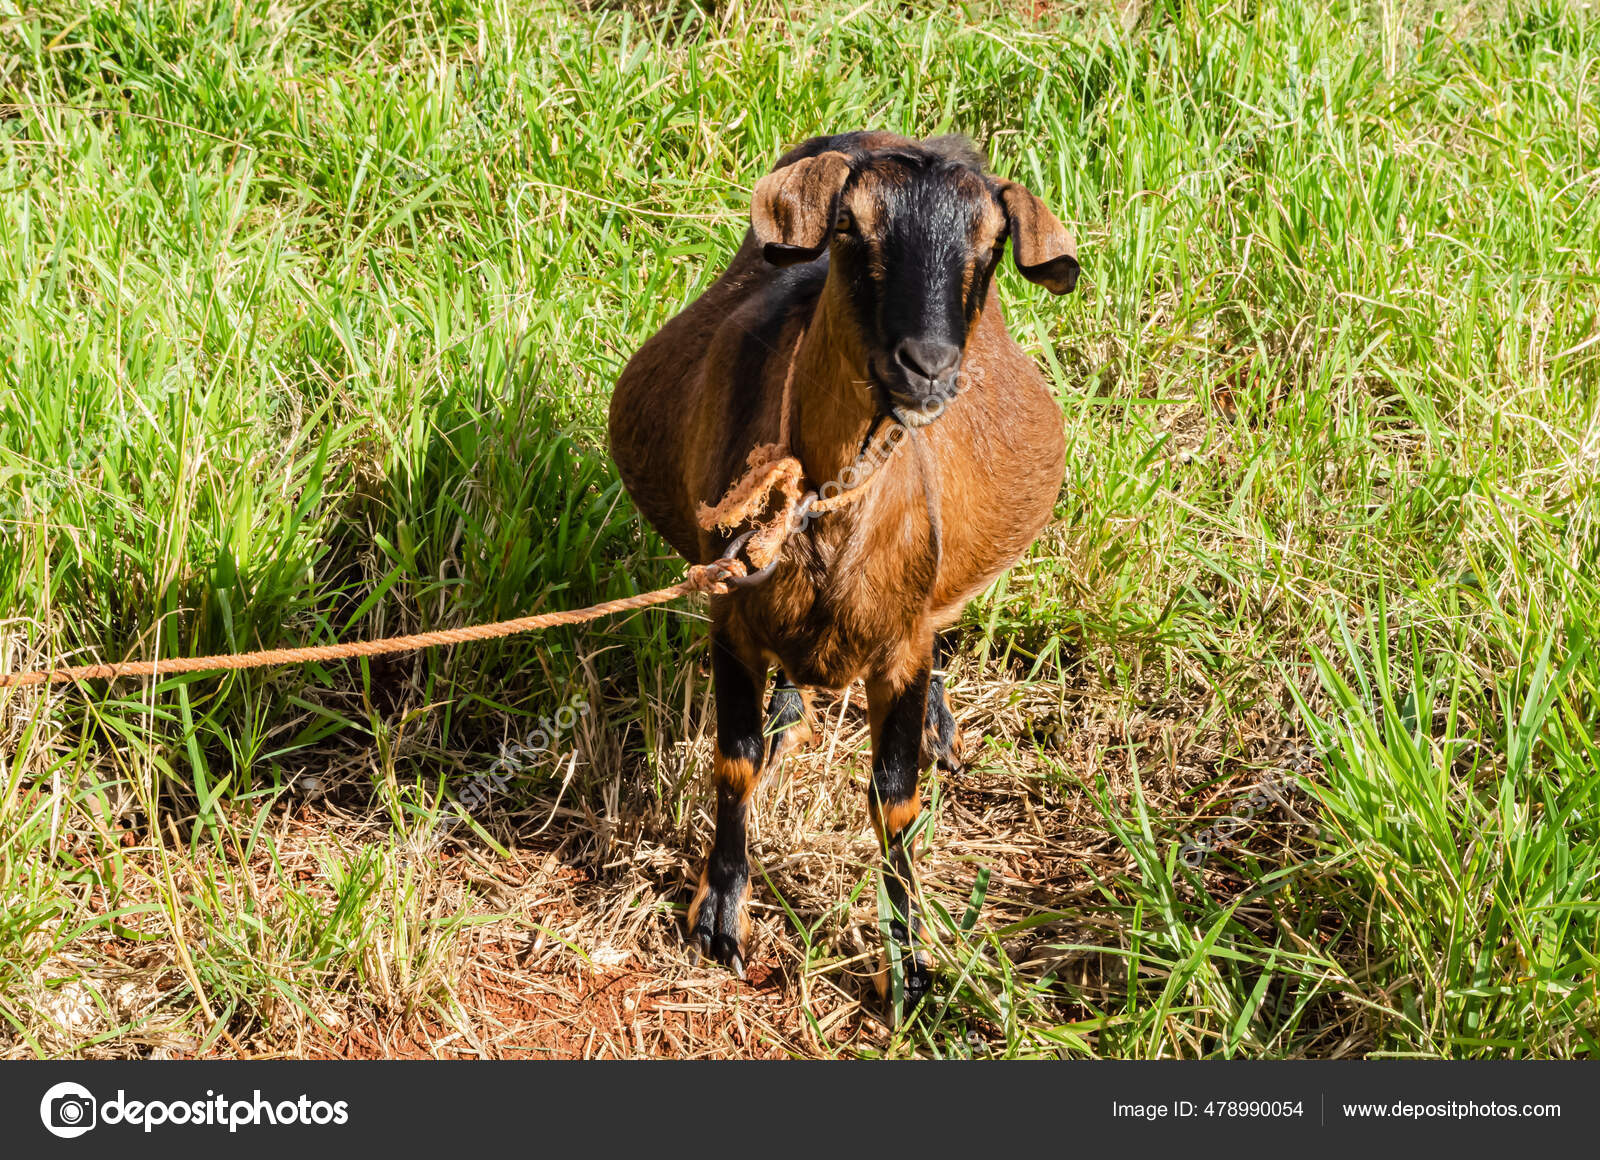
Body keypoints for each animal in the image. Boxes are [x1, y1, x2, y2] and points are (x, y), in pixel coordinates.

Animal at [609, 131, 1077, 1004]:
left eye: (991, 245)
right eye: (850, 229)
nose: (926, 365)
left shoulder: (901, 643)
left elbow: (895, 800)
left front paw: (911, 968)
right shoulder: (729, 614)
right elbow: (735, 759)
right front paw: (720, 914)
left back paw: (935, 724)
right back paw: (792, 710)